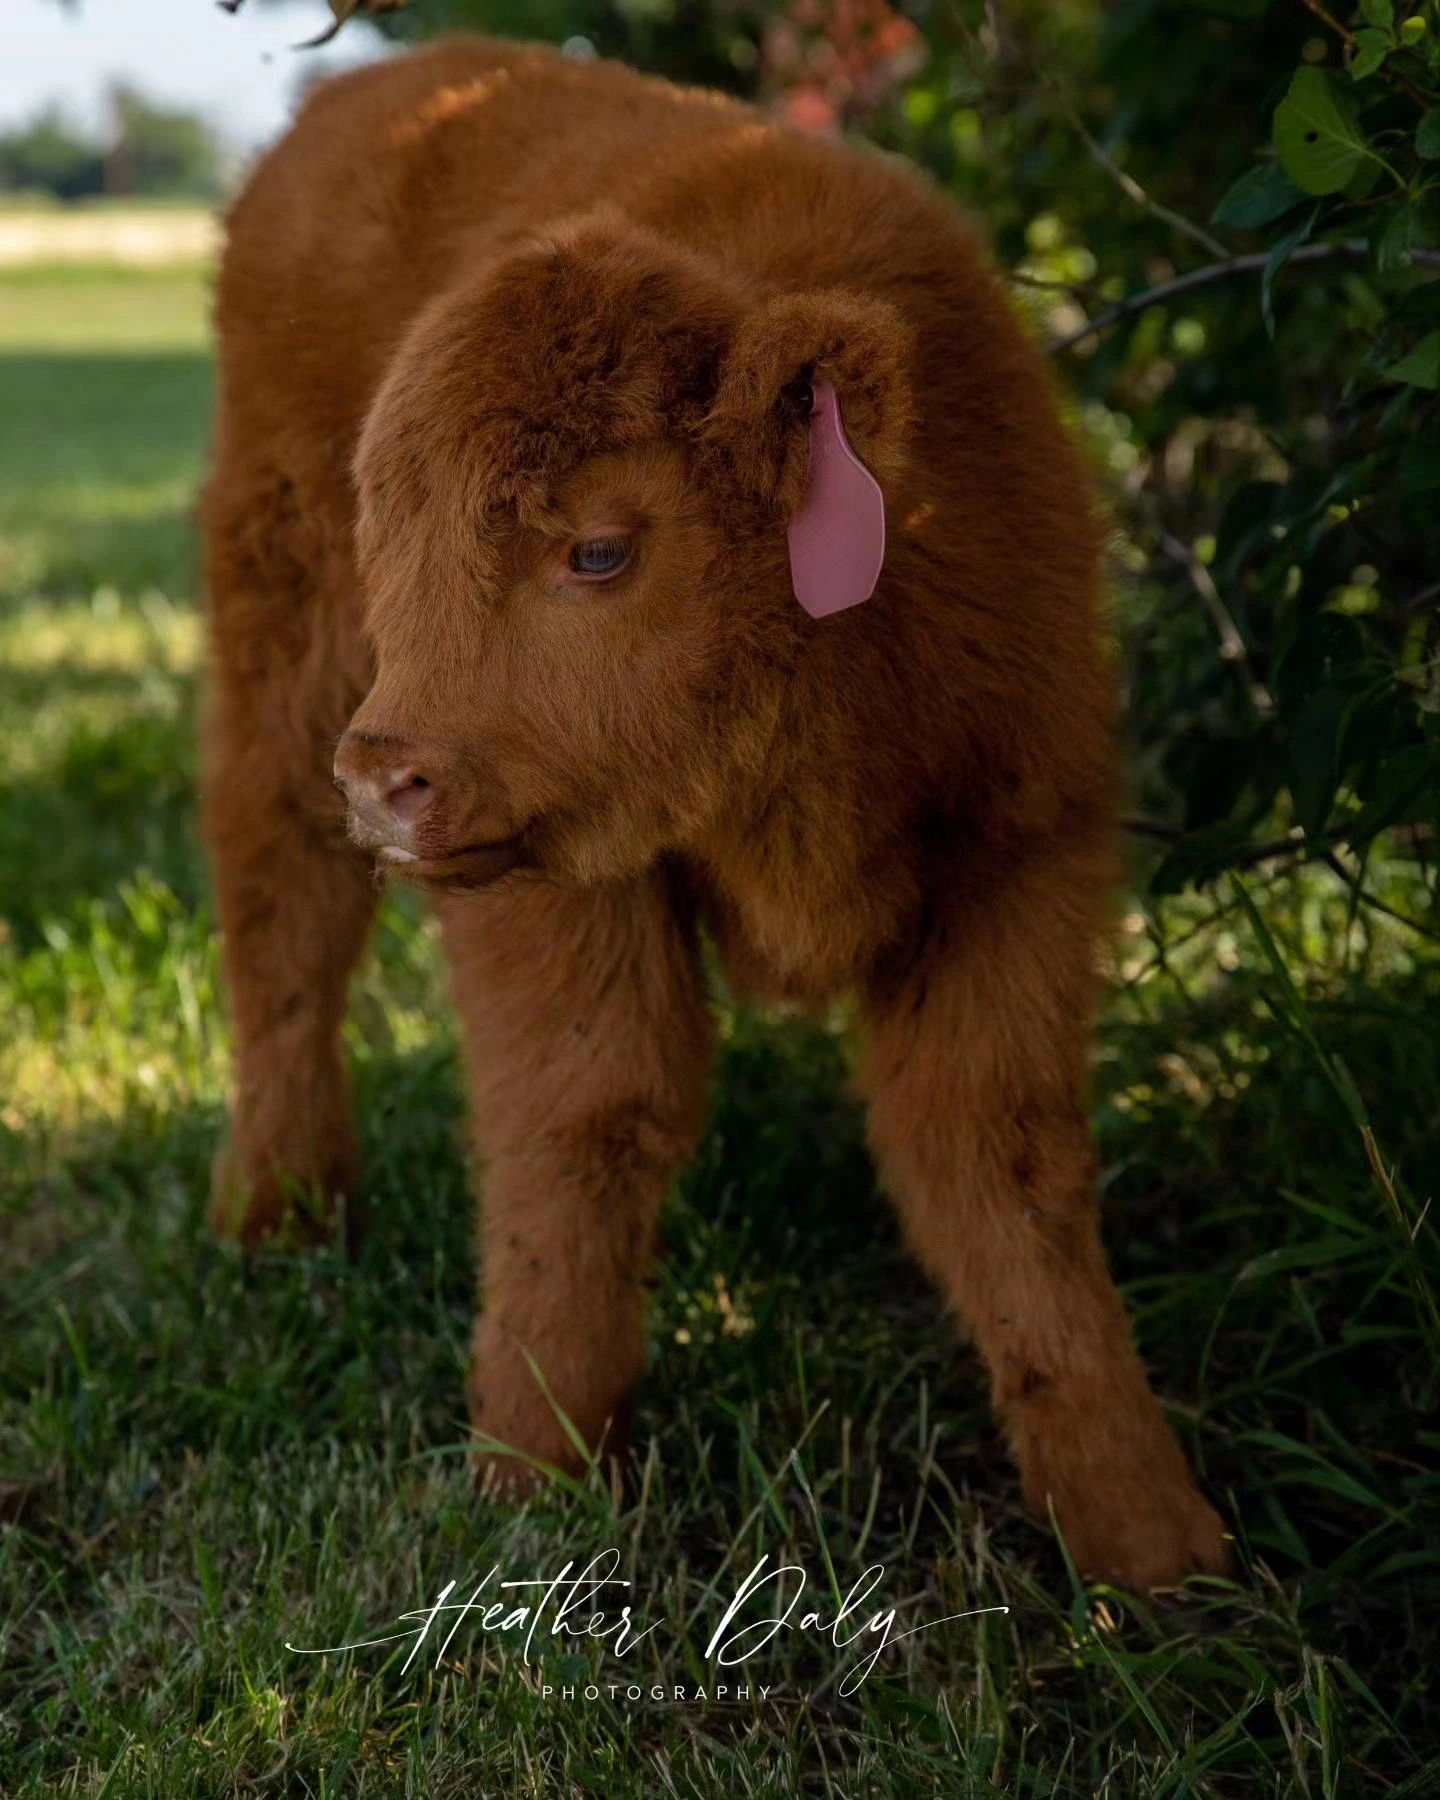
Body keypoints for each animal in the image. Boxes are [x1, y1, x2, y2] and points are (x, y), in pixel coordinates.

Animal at [202, 34, 1231, 1589]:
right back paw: (278, 1217)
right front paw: (534, 1475)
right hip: (277, 667)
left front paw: (1154, 1547)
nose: (387, 777)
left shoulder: (1019, 857)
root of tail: (365, 101)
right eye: (391, 533)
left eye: (599, 551)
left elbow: (1002, 1165)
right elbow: (588, 1115)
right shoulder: (552, 888)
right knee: (283, 931)